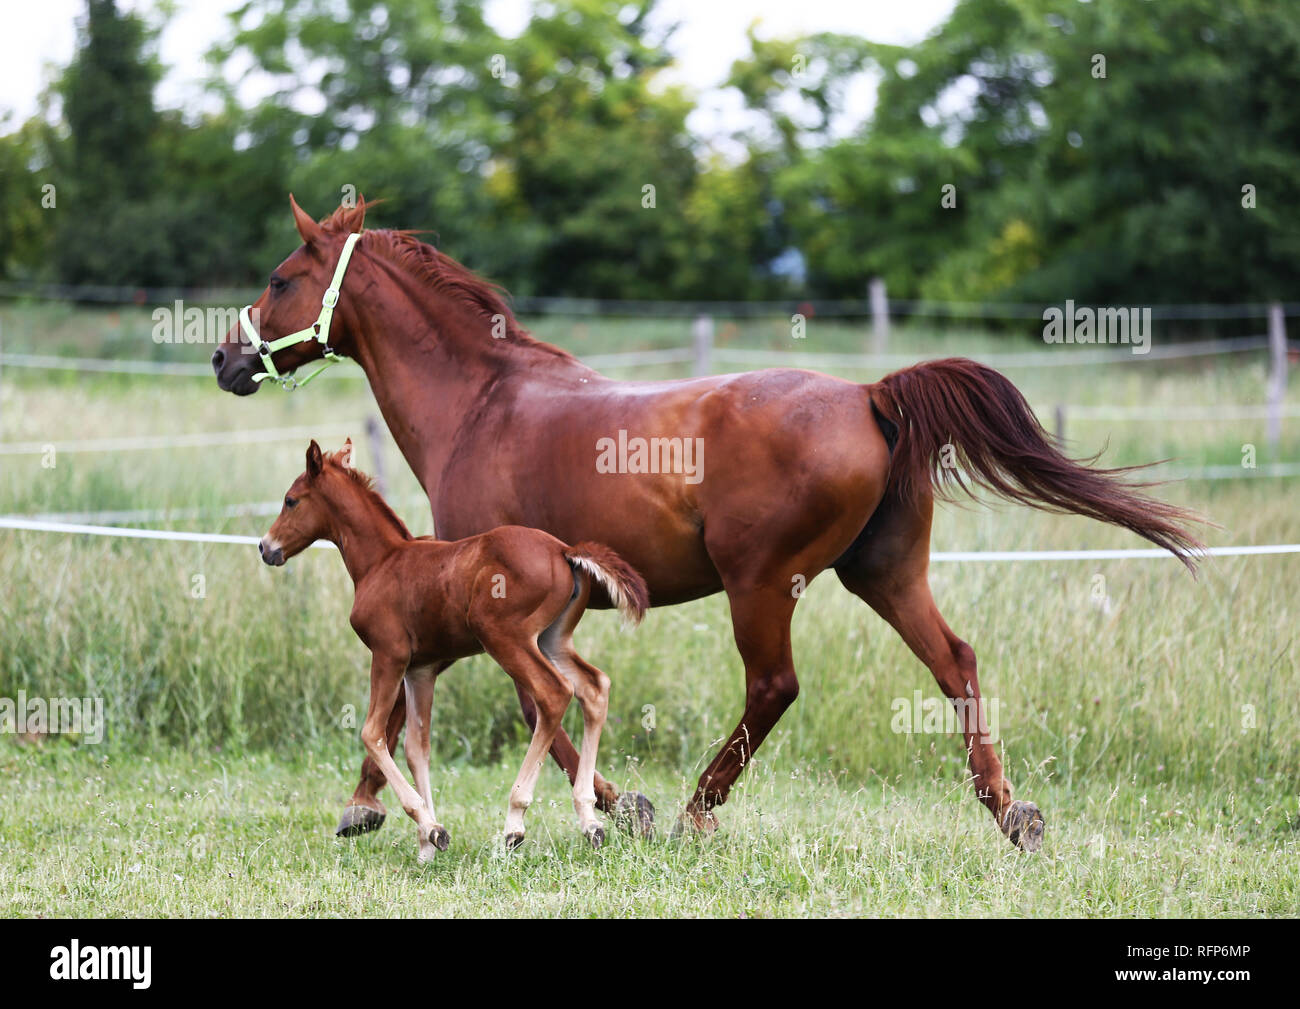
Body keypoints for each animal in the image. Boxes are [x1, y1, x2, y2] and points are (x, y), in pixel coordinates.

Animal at [259, 438, 648, 859]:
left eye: (291, 500)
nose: (266, 547)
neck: (382, 561)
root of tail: (564, 550)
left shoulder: (388, 655)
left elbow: (372, 732)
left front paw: (429, 826)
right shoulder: (420, 670)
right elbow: (416, 747)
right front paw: (428, 843)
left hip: (504, 637)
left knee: (554, 693)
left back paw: (515, 823)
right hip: (553, 639)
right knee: (594, 687)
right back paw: (590, 820)